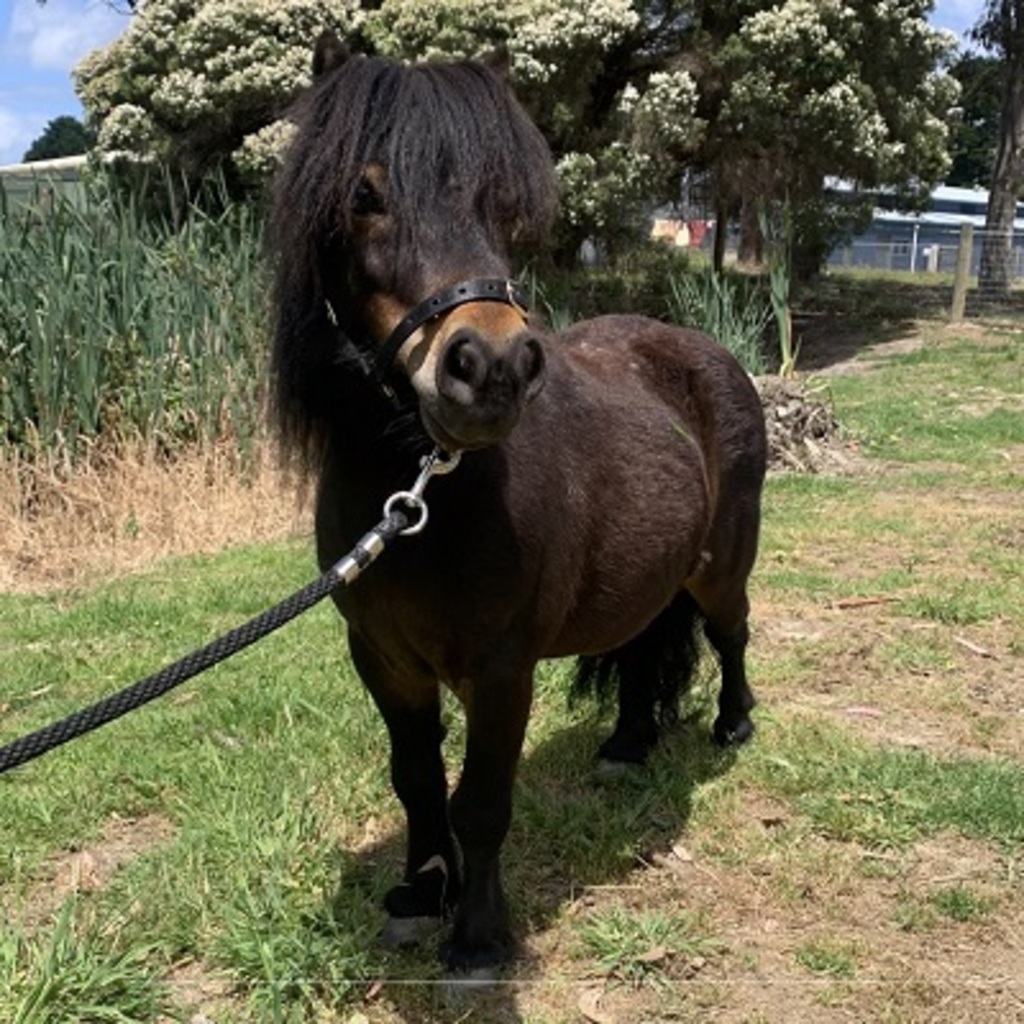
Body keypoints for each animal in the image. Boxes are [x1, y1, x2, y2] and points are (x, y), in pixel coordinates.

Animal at [269, 33, 767, 973]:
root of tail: (704, 350)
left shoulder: (501, 670)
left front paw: (477, 938)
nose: (493, 366)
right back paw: (627, 745)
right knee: (643, 646)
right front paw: (422, 892)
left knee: (731, 635)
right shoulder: (383, 660)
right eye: (364, 194)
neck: (428, 500)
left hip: (721, 569)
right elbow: (417, 781)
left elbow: (481, 801)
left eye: (502, 203)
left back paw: (733, 728)